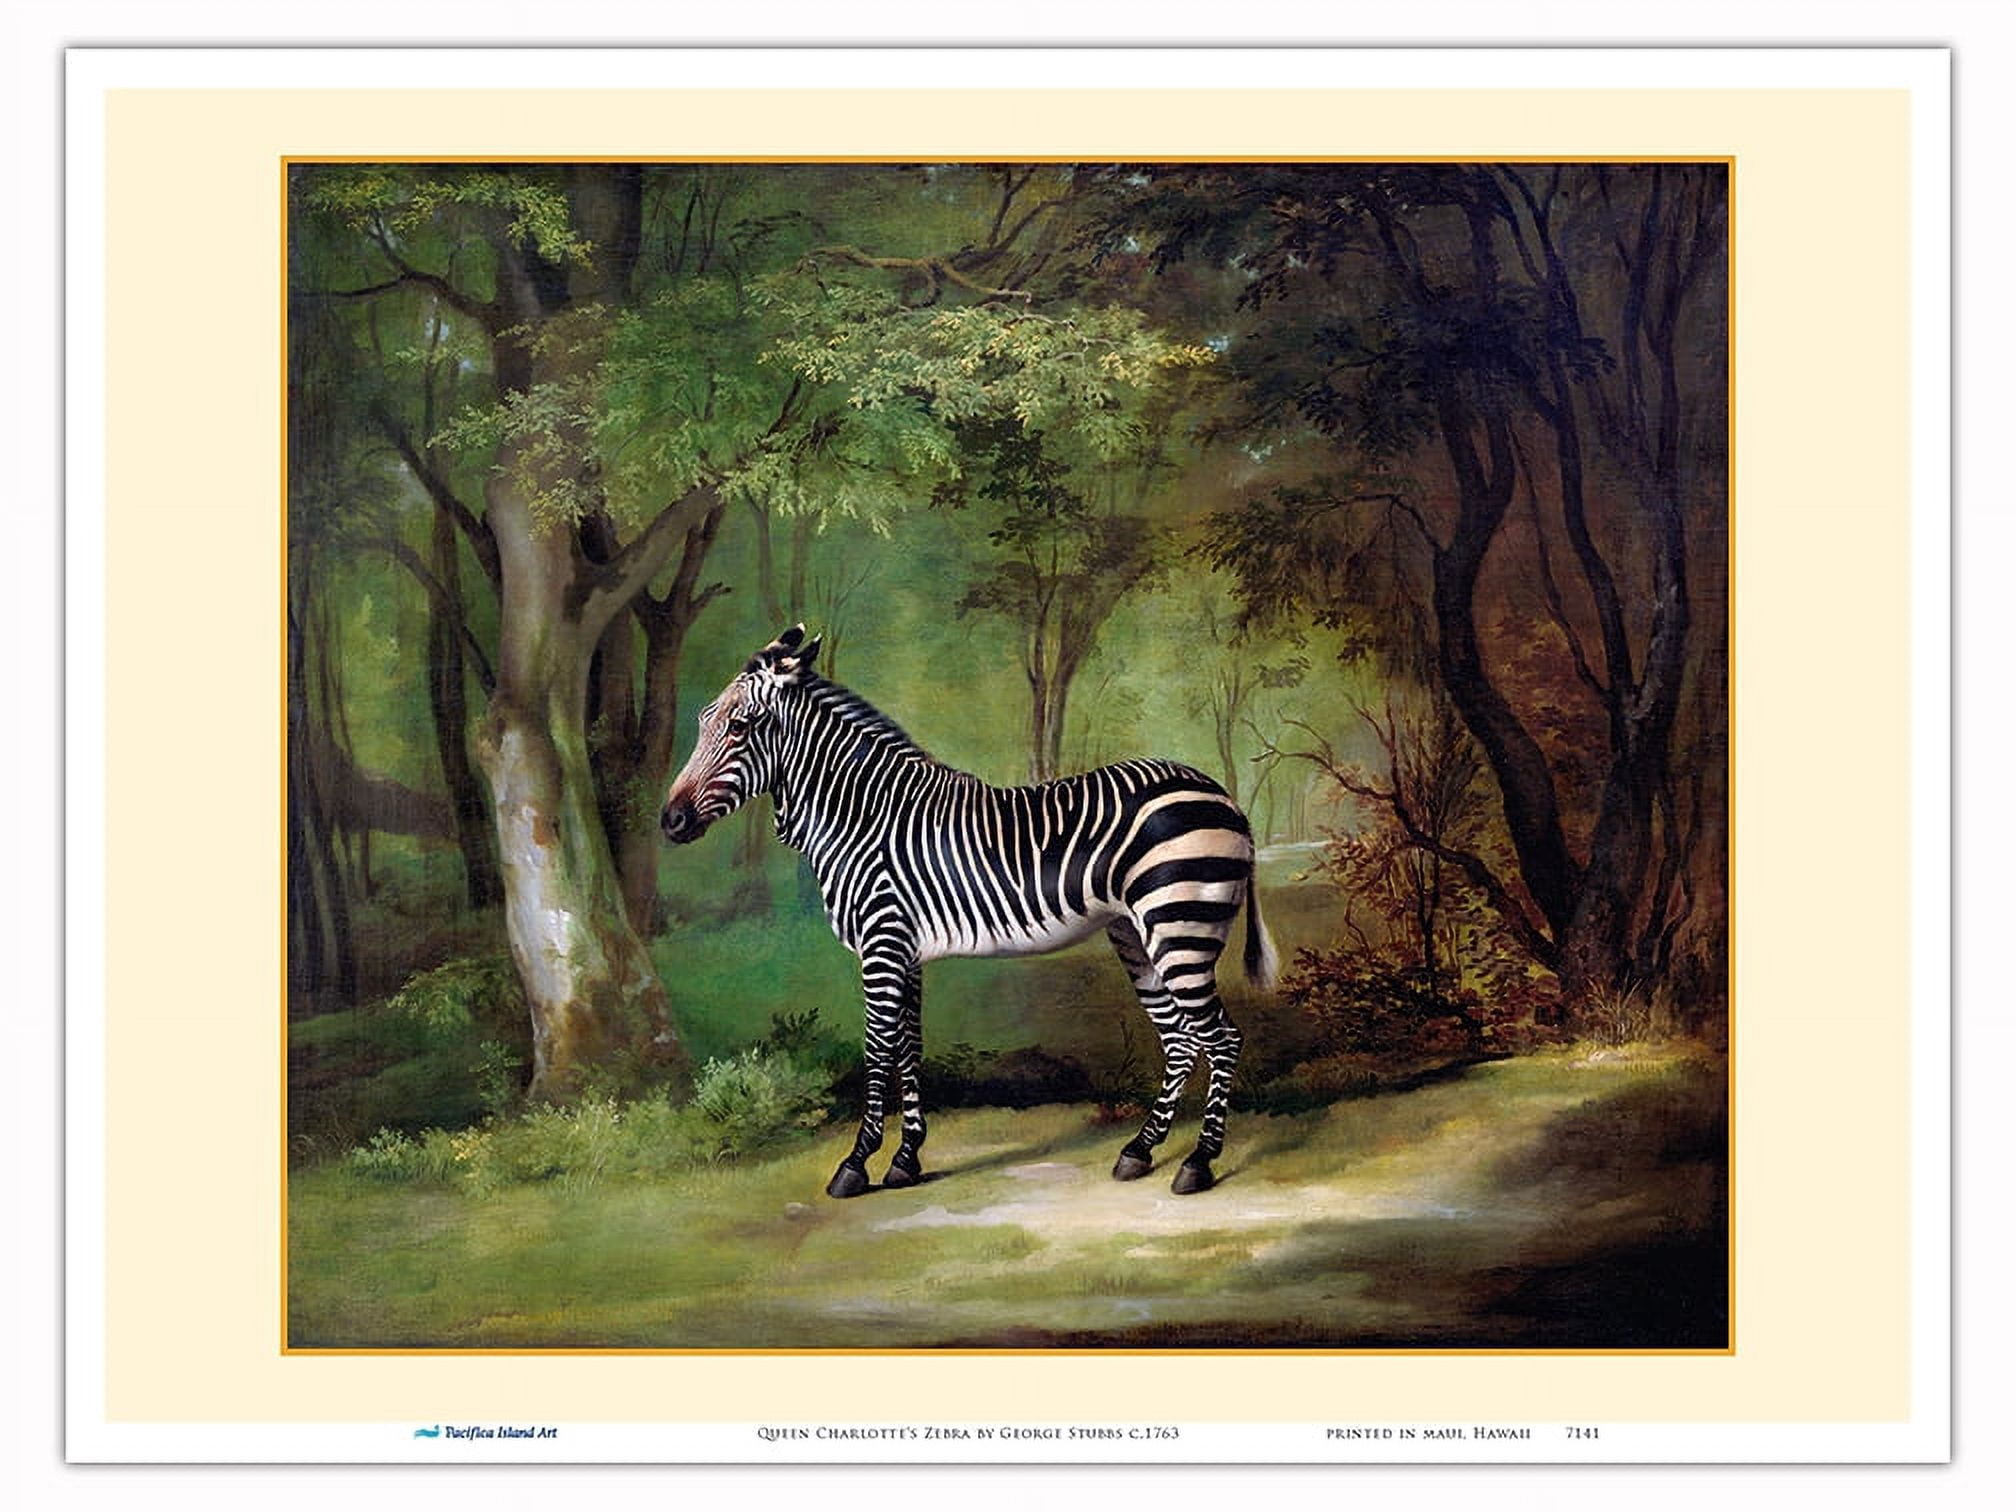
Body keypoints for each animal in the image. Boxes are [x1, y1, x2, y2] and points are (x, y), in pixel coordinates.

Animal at [661, 626, 1276, 1198]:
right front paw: (906, 1160)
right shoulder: (904, 951)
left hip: (1179, 925)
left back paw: (1198, 1163)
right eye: (703, 721)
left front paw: (855, 1165)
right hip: (1136, 934)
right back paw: (1139, 1151)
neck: (861, 814)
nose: (669, 821)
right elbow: (909, 1049)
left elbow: (878, 1051)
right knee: (1181, 1040)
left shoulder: (881, 944)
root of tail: (1223, 795)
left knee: (1221, 1037)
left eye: (741, 728)